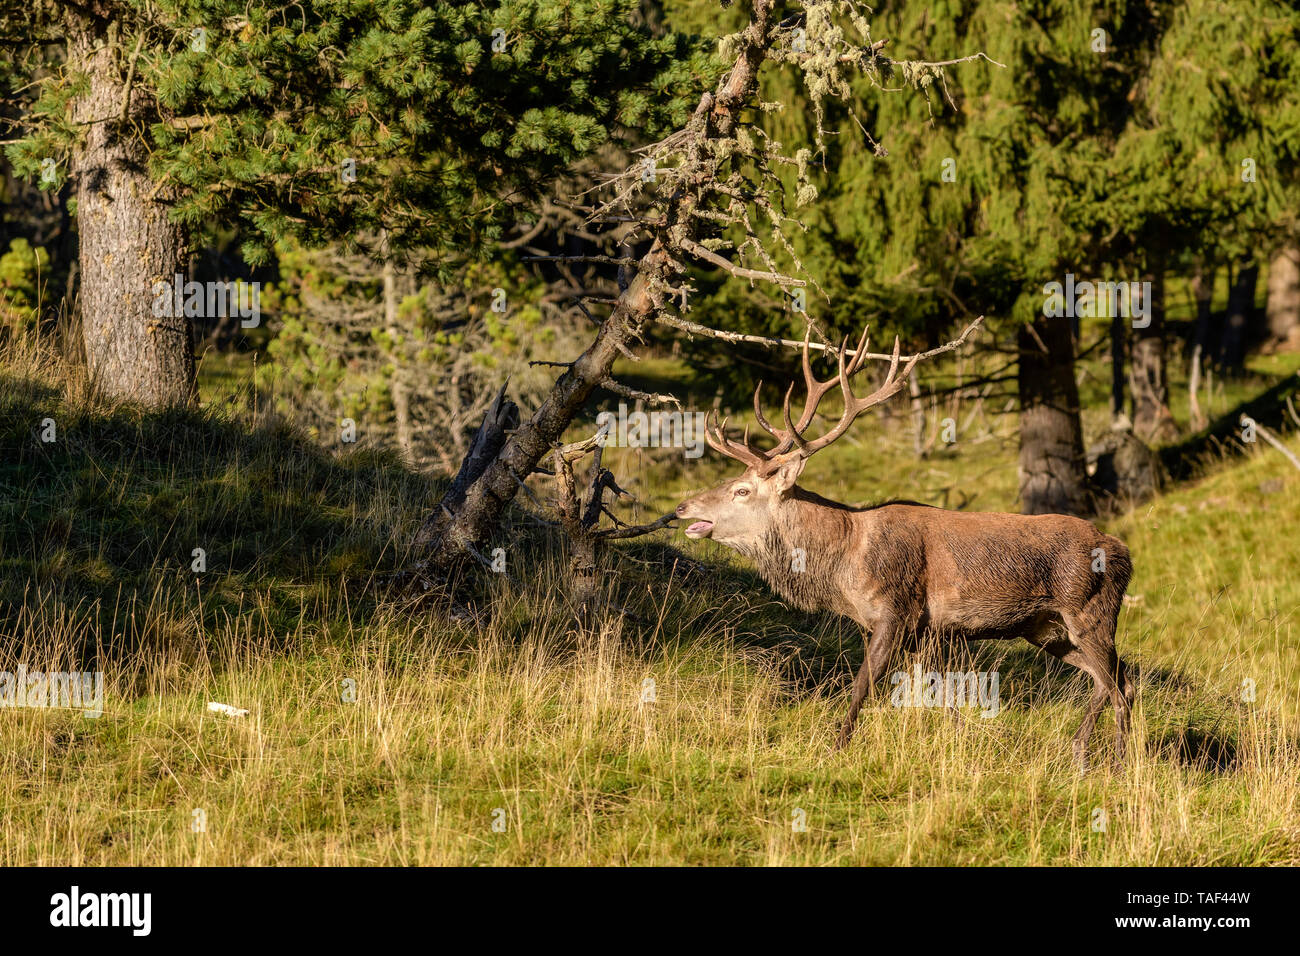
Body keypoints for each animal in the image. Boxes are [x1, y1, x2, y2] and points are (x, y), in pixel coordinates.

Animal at [674, 324, 1134, 767]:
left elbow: (864, 683)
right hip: (1046, 628)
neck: (844, 562)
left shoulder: (895, 609)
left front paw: (835, 747)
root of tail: (1123, 553)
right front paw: (961, 741)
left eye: (742, 490)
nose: (681, 506)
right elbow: (939, 695)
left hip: (1089, 611)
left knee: (1121, 684)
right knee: (1109, 678)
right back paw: (1080, 753)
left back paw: (1118, 763)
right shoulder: (923, 632)